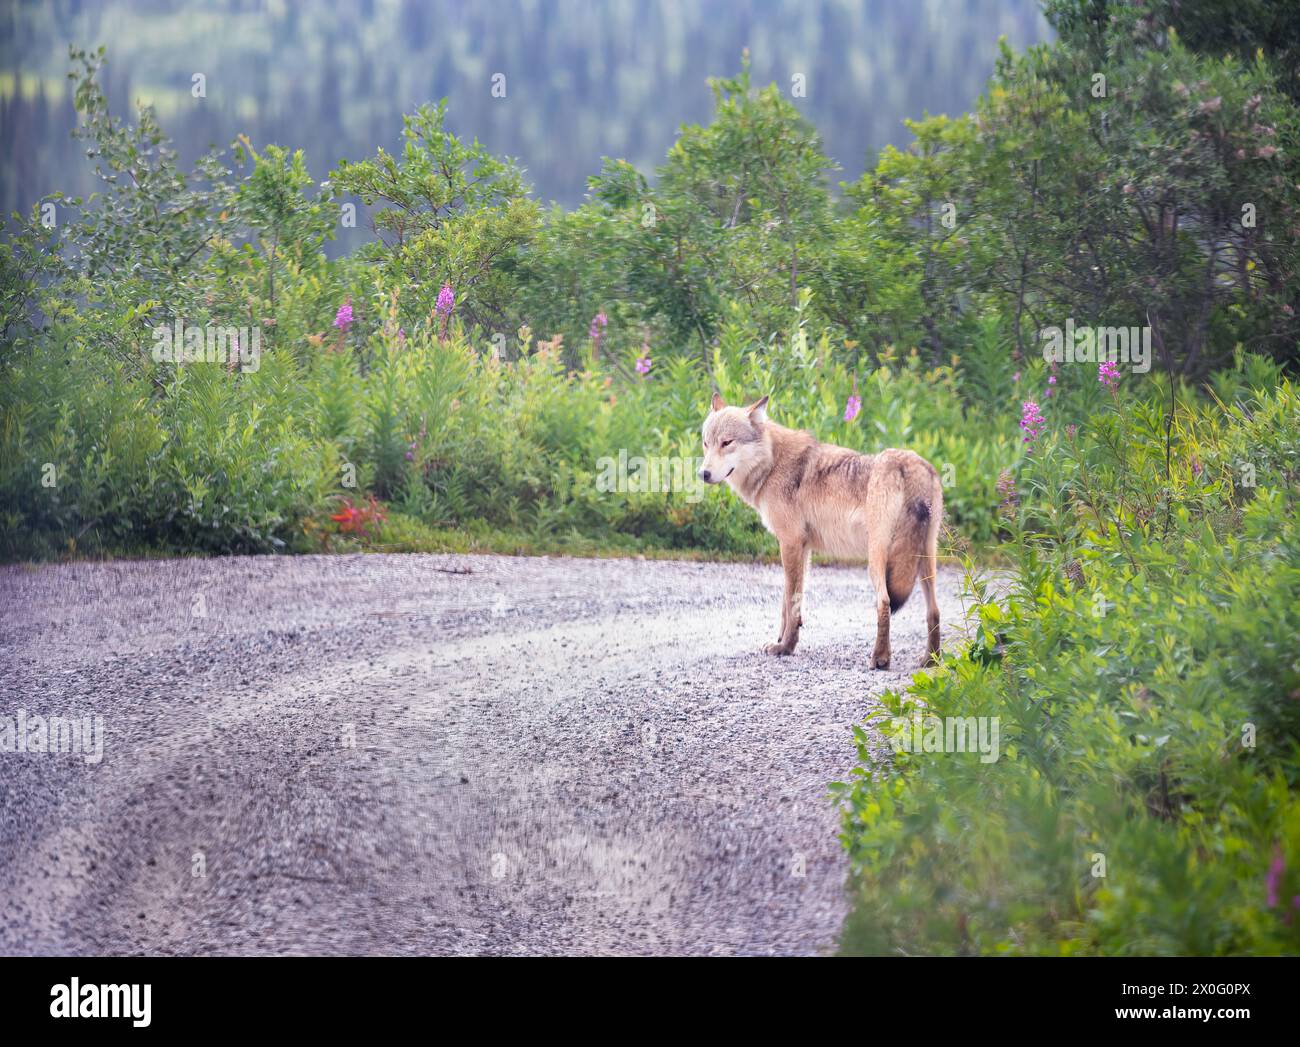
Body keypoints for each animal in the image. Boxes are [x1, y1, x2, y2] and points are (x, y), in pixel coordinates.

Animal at [700, 392, 942, 669]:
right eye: (706, 443)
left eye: (727, 442)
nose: (703, 473)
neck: (772, 463)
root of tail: (912, 466)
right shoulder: (801, 549)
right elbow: (788, 604)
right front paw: (781, 641)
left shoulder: (790, 543)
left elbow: (791, 602)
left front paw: (785, 647)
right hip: (925, 562)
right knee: (934, 611)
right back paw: (930, 660)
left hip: (876, 562)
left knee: (884, 602)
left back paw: (879, 659)